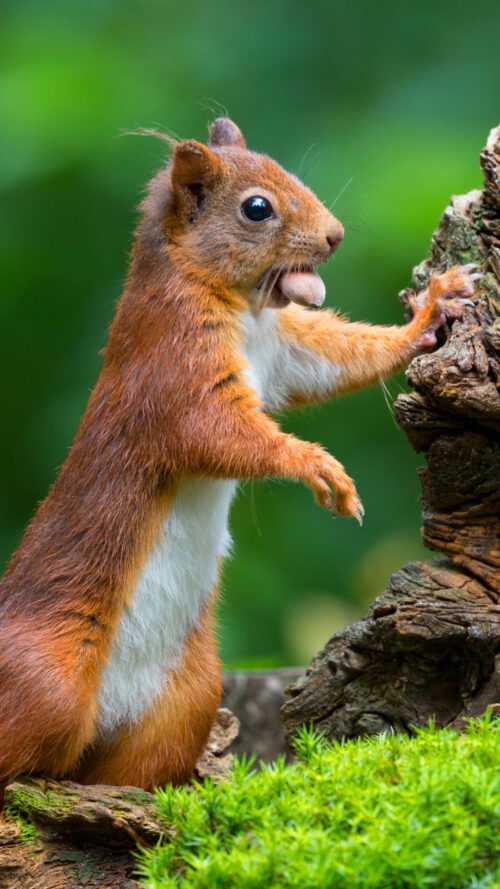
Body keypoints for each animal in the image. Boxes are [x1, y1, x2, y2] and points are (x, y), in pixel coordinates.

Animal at [0, 117, 478, 791]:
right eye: (257, 208)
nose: (335, 235)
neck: (242, 308)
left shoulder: (286, 351)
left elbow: (339, 356)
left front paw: (430, 314)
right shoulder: (174, 369)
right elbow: (219, 434)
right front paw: (321, 468)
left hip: (185, 700)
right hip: (46, 682)